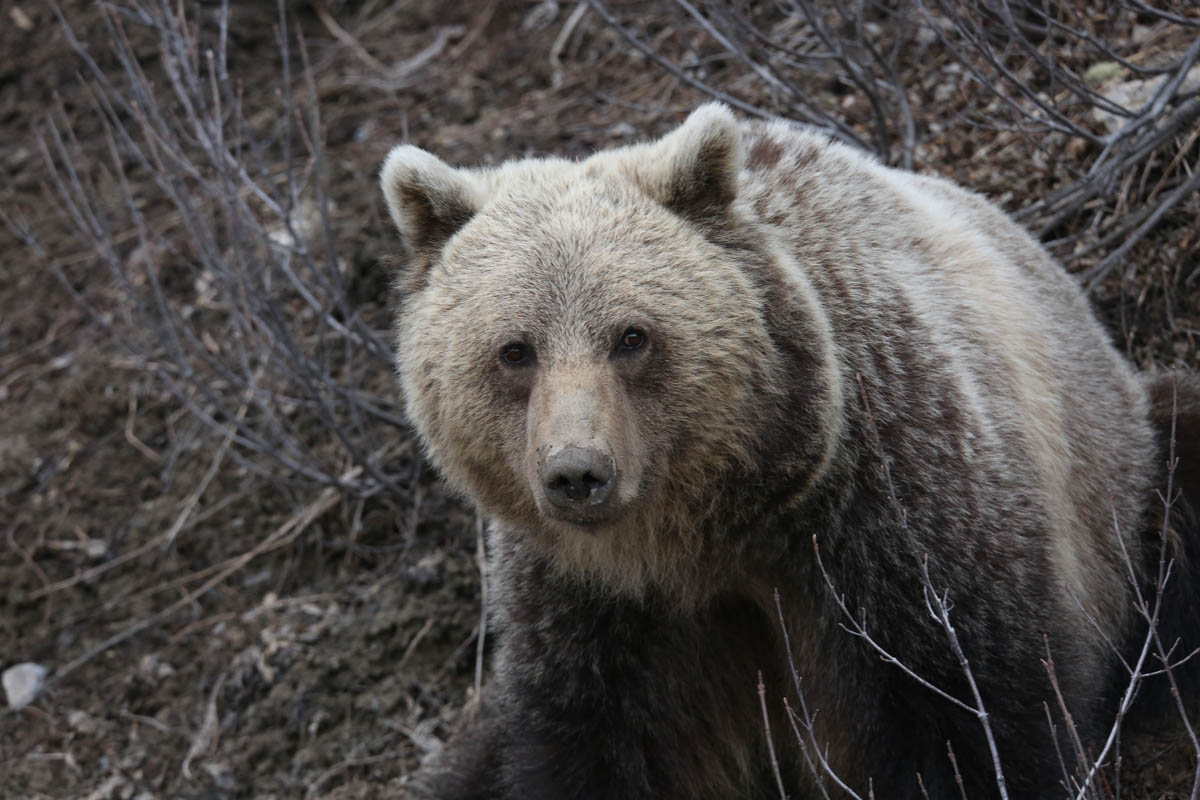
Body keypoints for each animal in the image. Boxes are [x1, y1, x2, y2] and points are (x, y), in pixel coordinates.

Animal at [378, 103, 1200, 799]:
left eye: (632, 336)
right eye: (516, 350)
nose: (578, 473)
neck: (705, 540)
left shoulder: (889, 521)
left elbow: (967, 712)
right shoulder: (597, 618)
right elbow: (594, 746)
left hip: (1129, 478)